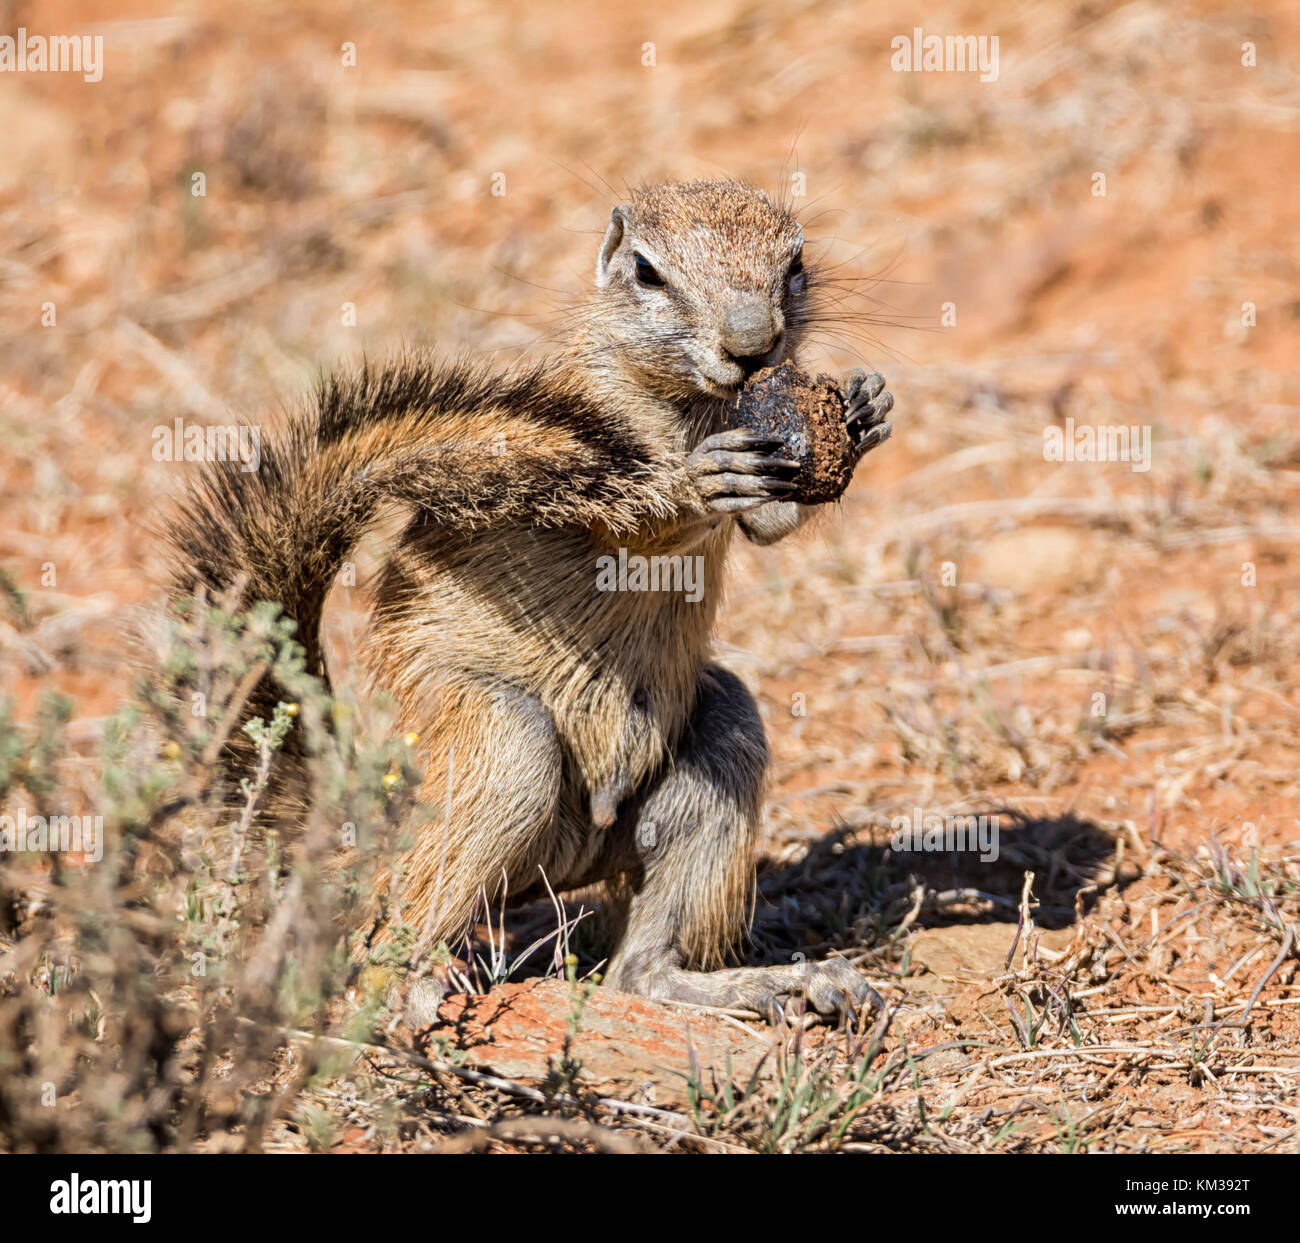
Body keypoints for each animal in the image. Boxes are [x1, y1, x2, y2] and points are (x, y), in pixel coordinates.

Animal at [166, 179, 894, 1022]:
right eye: (647, 272)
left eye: (796, 263)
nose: (755, 346)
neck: (693, 407)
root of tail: (365, 823)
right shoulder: (561, 455)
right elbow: (620, 522)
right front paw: (692, 482)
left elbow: (769, 524)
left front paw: (865, 411)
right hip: (497, 738)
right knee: (396, 919)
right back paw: (409, 992)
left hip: (720, 739)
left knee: (638, 967)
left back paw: (776, 982)